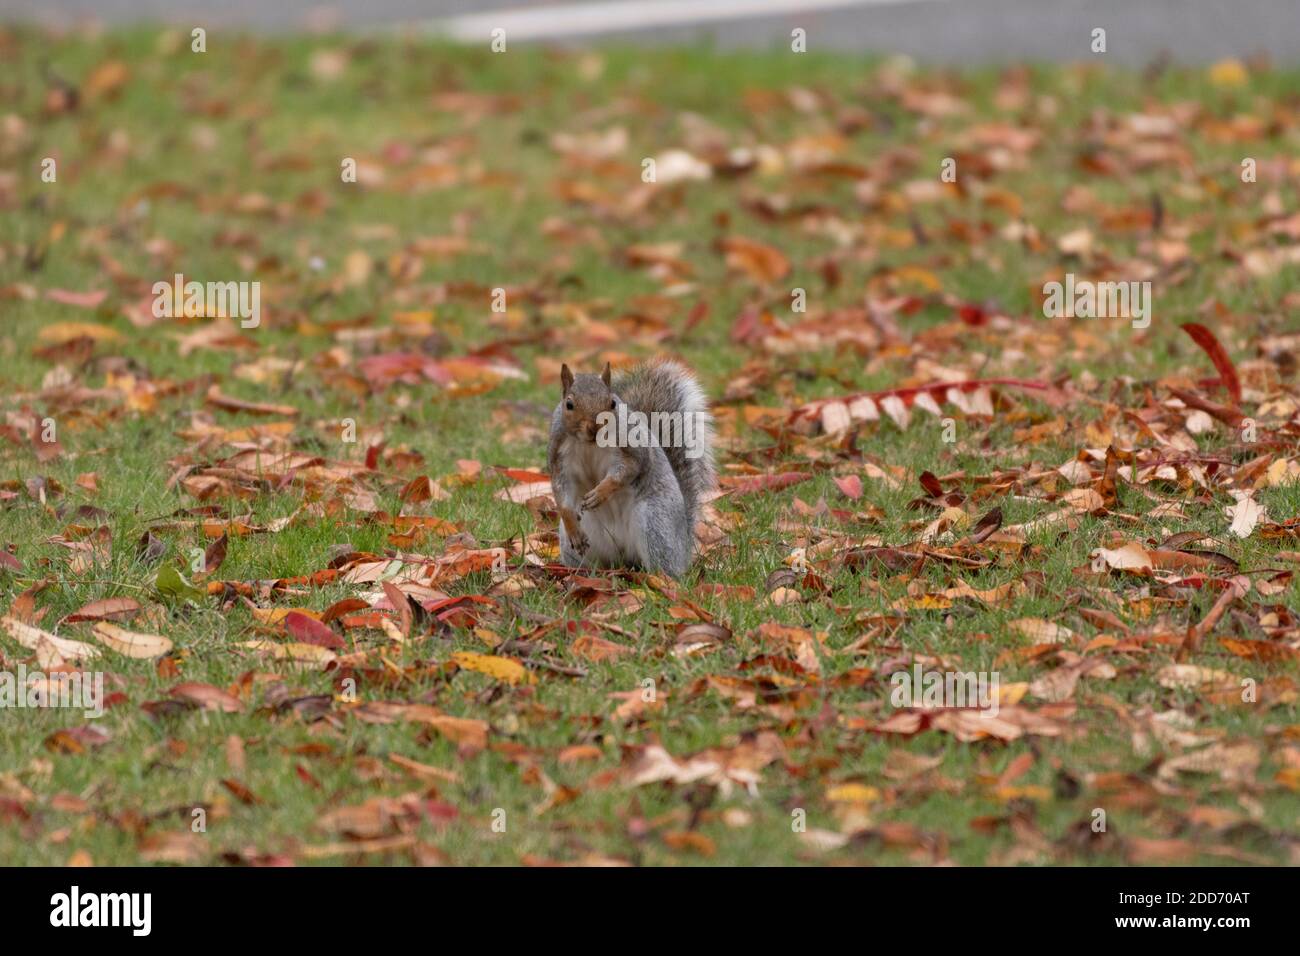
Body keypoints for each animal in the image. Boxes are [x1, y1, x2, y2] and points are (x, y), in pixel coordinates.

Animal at [547, 358, 716, 579]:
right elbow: (561, 492)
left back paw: (659, 578)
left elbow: (629, 469)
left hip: (655, 524)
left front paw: (600, 493)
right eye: (569, 404)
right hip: (579, 542)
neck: (589, 444)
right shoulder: (559, 457)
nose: (595, 427)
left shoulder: (633, 448)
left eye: (612, 403)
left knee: (664, 563)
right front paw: (572, 525)